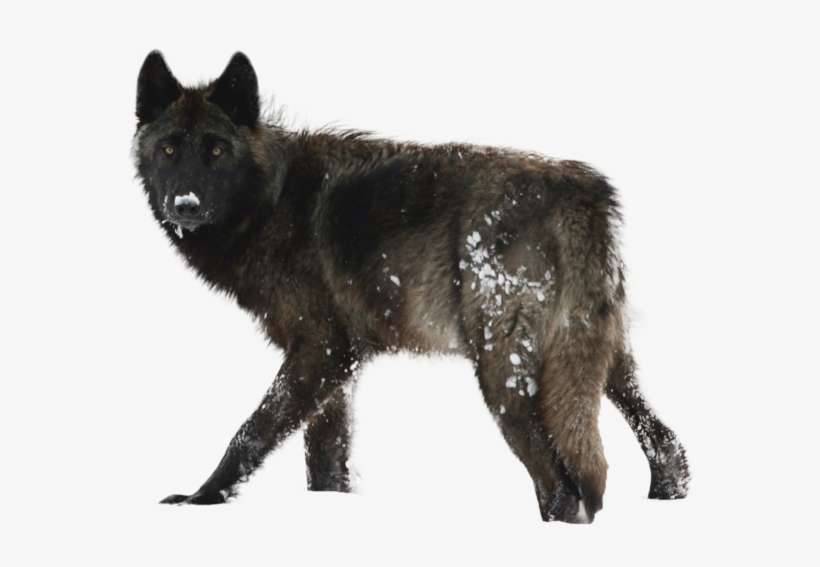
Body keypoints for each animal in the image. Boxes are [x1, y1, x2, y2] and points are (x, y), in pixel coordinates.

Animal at [133, 51, 689, 523]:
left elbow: (251, 432)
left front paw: (200, 500)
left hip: (503, 376)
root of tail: (580, 189)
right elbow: (326, 461)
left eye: (216, 150)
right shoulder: (337, 366)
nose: (184, 204)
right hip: (600, 361)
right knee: (667, 443)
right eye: (168, 149)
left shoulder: (320, 349)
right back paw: (668, 492)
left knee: (562, 484)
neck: (271, 200)